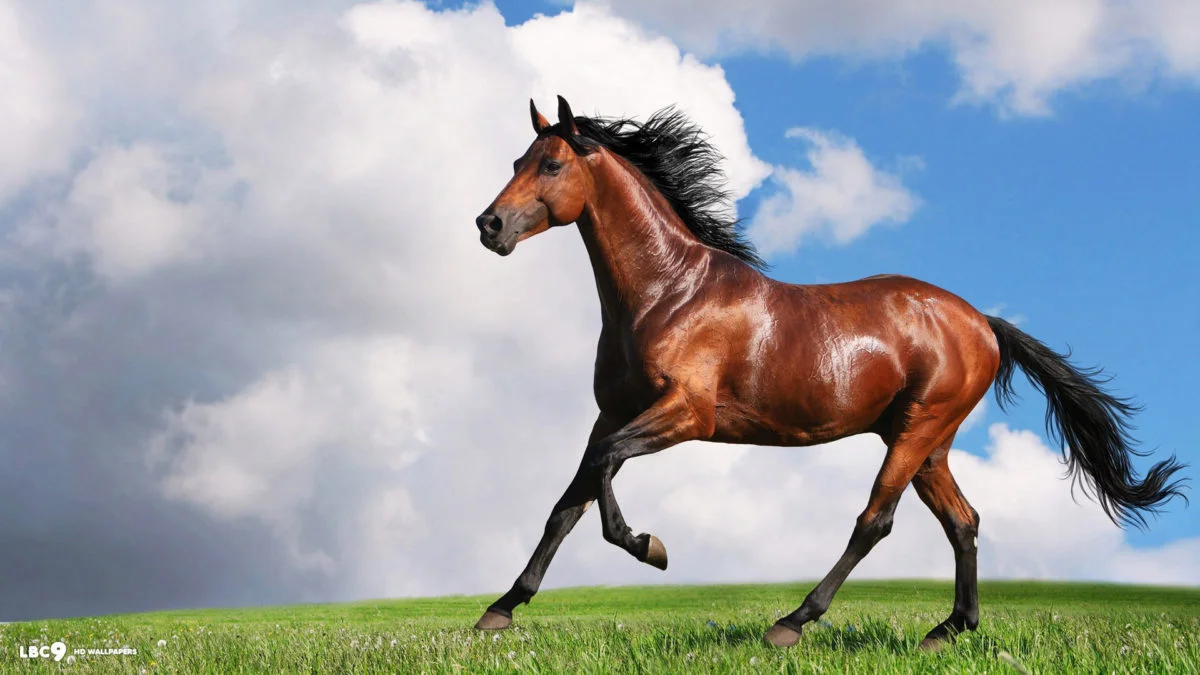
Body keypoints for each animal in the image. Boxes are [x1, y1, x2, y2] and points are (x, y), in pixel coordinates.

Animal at [469, 96, 1187, 649]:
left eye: (552, 163)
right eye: (516, 162)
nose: (488, 224)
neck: (666, 293)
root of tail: (982, 321)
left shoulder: (685, 414)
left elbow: (604, 475)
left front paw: (651, 546)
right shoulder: (611, 412)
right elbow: (569, 501)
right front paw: (499, 610)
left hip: (917, 430)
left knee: (876, 519)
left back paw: (792, 622)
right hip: (928, 442)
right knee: (963, 520)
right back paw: (947, 630)